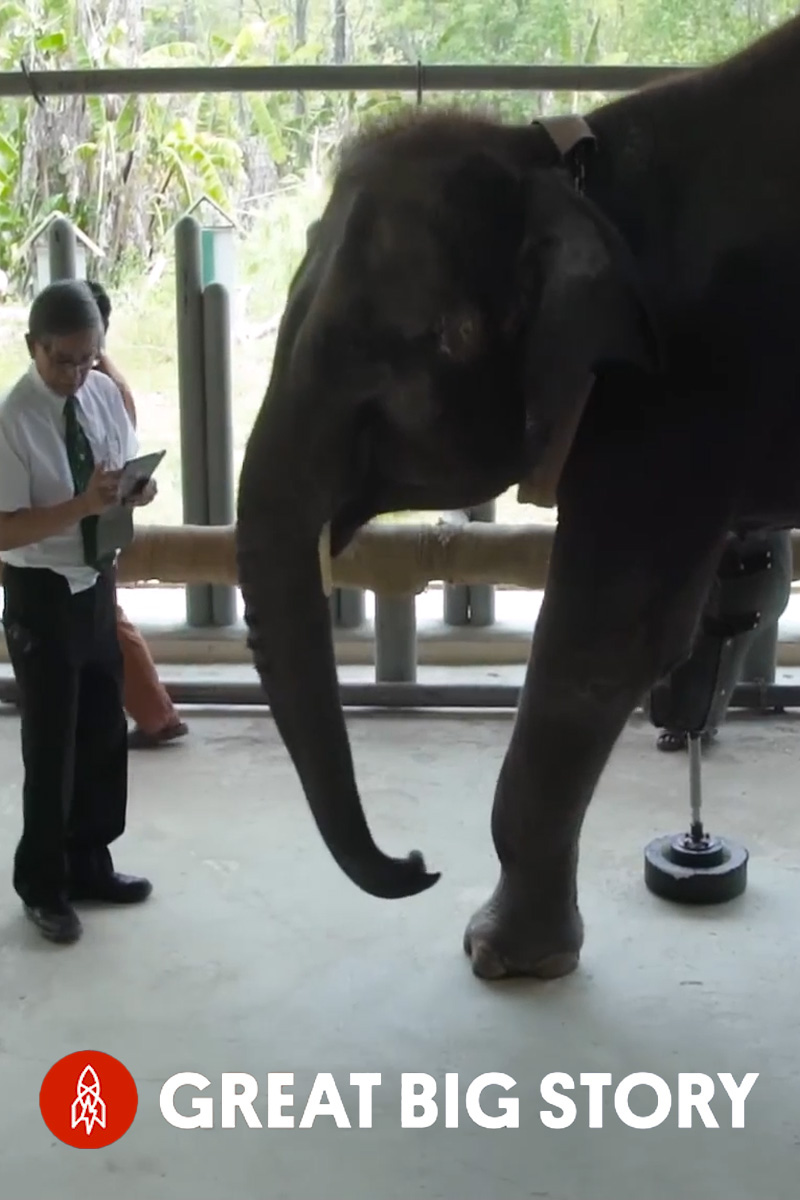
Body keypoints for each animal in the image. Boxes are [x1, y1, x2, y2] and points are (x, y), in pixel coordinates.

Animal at [235, 13, 800, 982]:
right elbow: (738, 588)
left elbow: (602, 643)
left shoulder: (671, 396)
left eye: (417, 345)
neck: (566, 165)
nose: (417, 862)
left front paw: (502, 959)